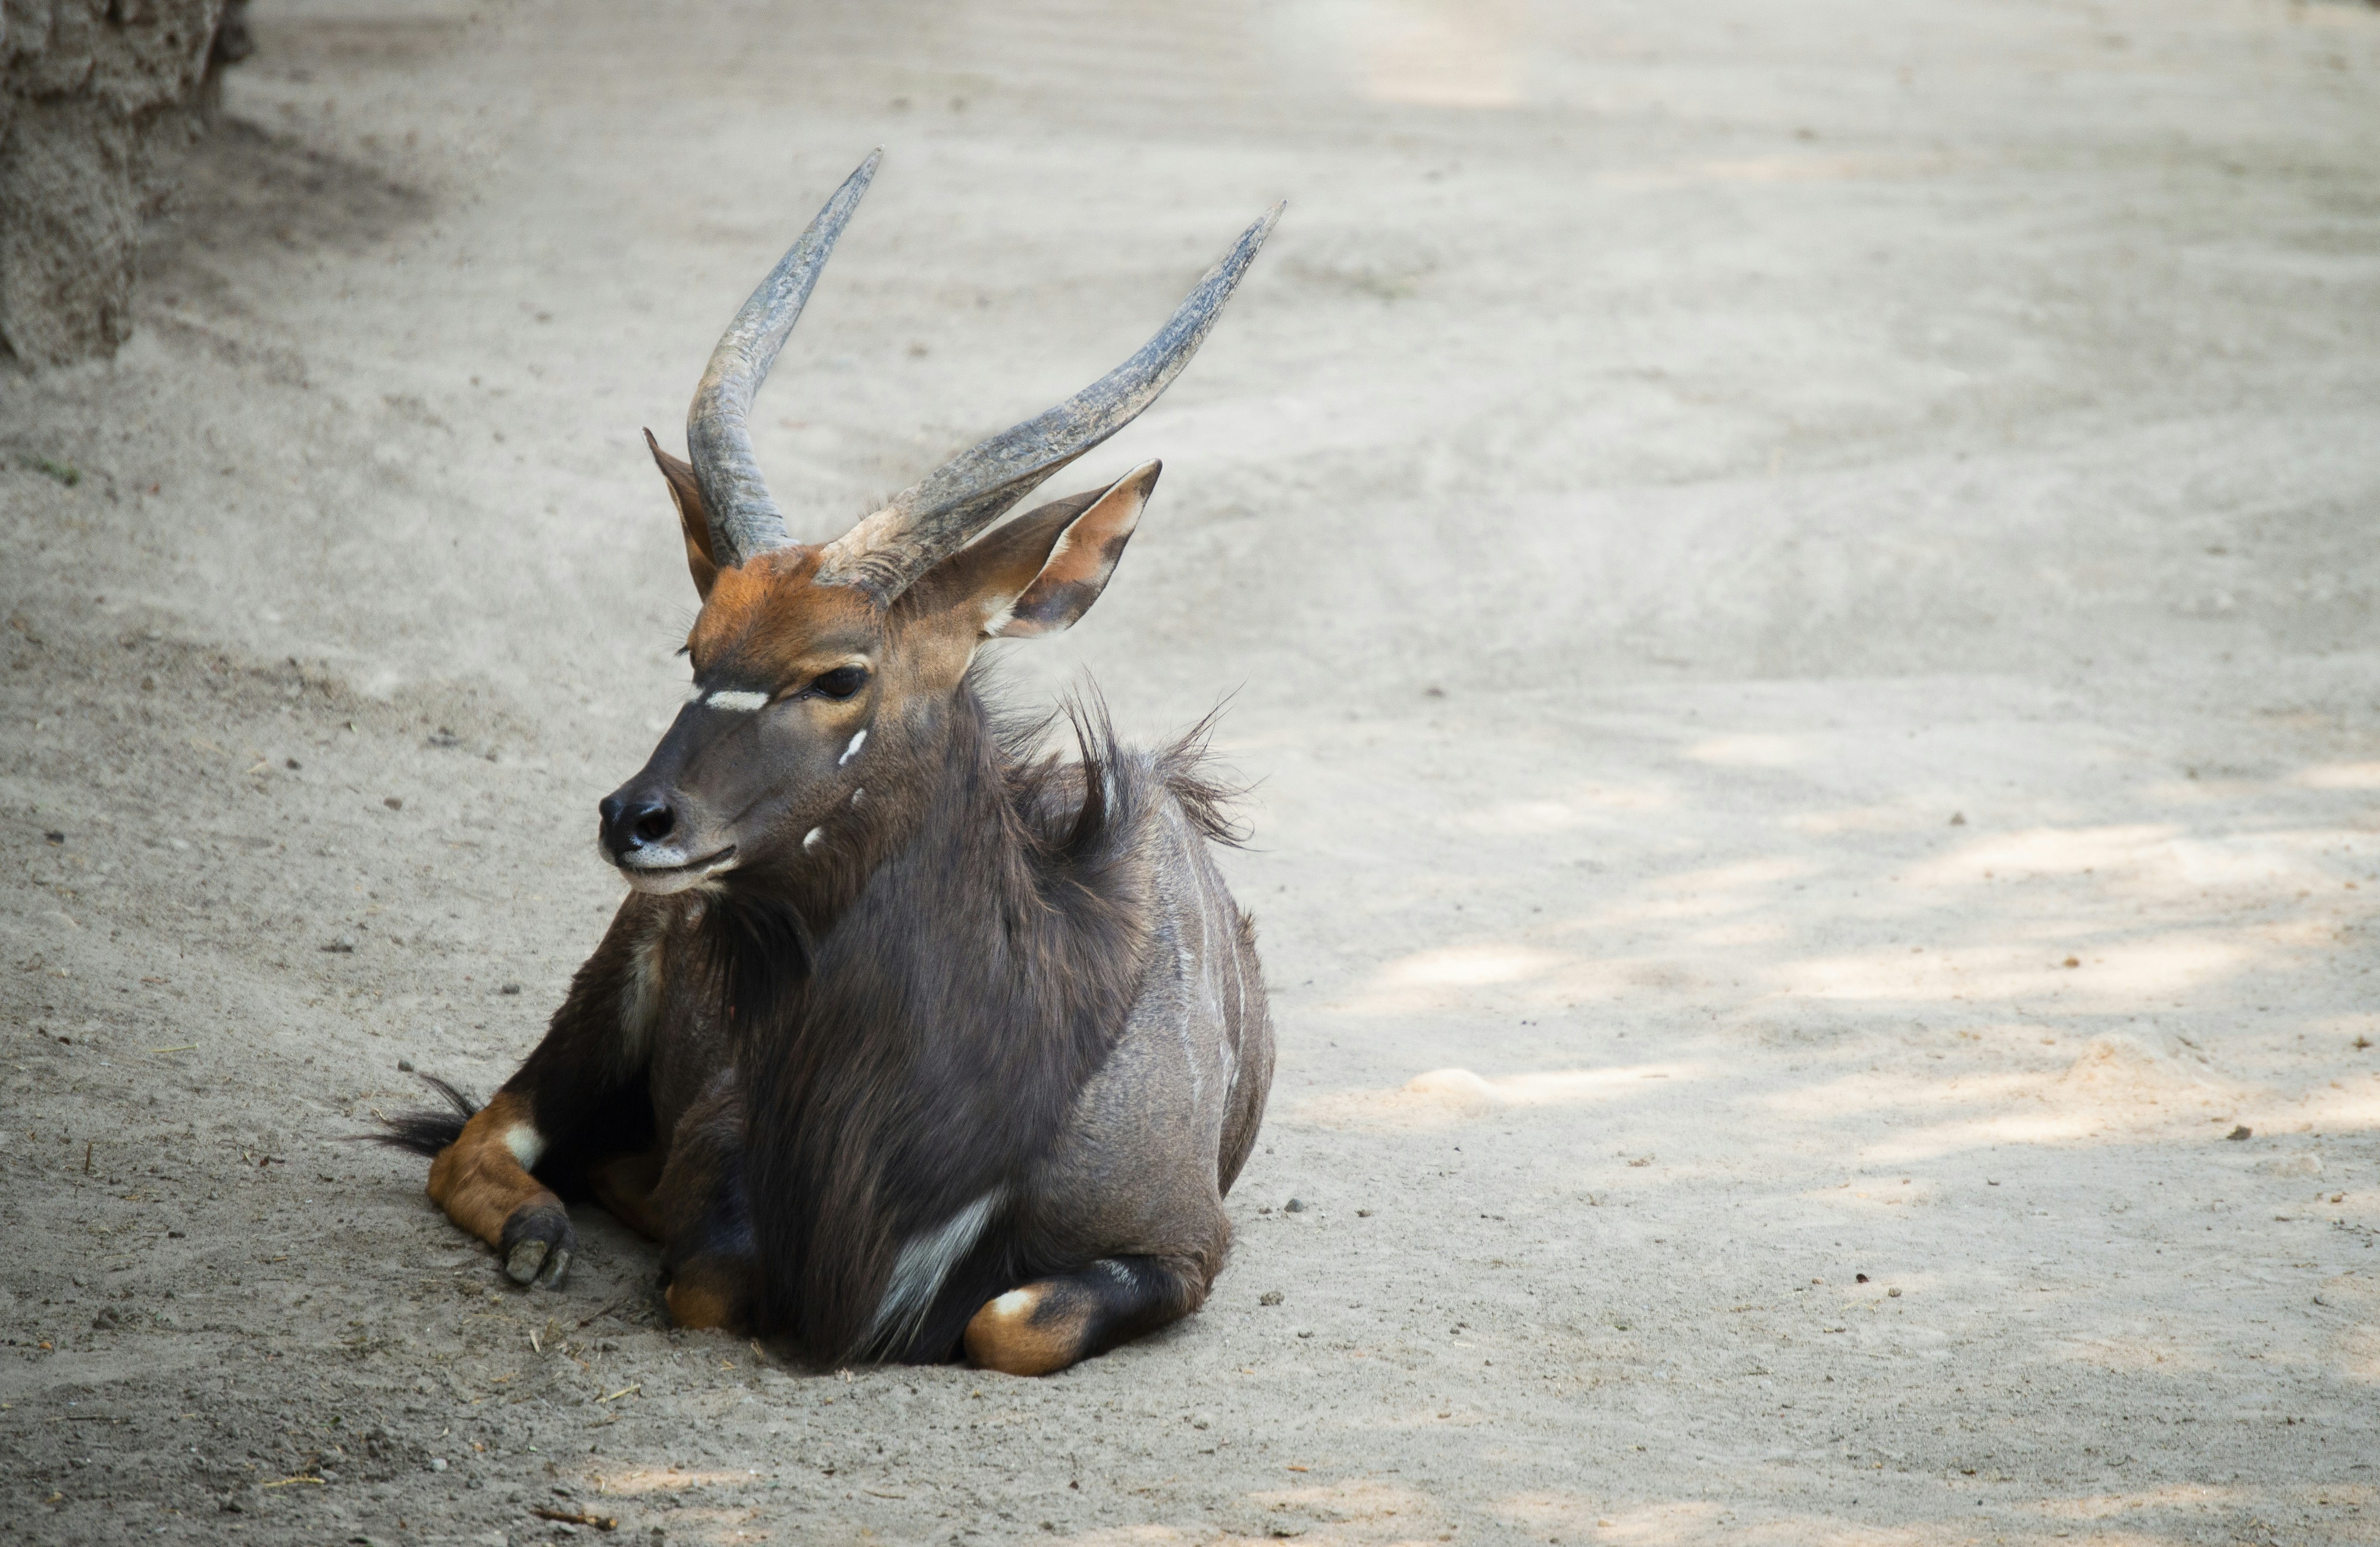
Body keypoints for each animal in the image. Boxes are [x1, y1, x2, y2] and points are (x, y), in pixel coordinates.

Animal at [381, 153, 1278, 1376]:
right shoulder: (724, 1160)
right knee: (482, 1137)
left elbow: (1010, 1321)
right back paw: (540, 1232)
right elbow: (707, 1280)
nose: (637, 819)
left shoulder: (1185, 1245)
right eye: (695, 647)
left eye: (840, 673)